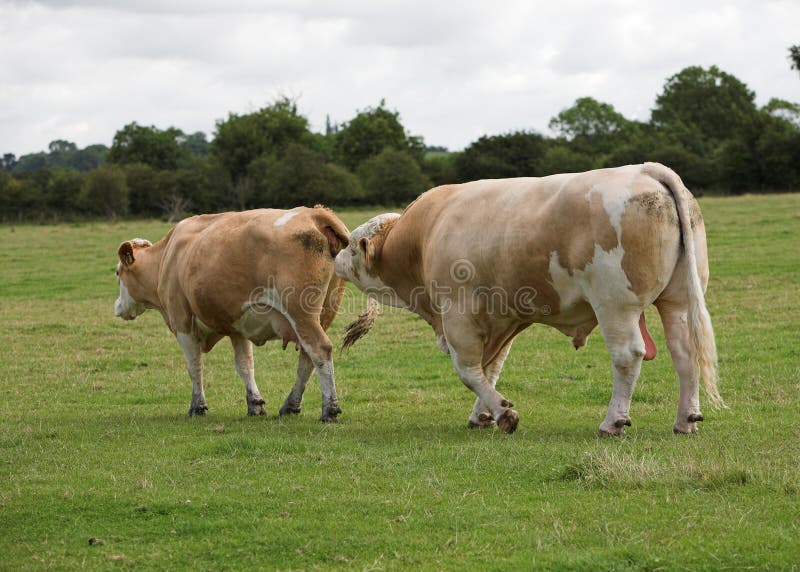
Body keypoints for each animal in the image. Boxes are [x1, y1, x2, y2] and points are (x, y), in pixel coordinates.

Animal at [114, 206, 350, 422]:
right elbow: (245, 365)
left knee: (319, 350)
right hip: (324, 314)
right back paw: (291, 405)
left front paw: (197, 406)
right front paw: (255, 404)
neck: (168, 256)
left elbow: (194, 365)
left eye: (117, 273)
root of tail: (314, 213)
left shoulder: (182, 321)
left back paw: (329, 409)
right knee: (307, 359)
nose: (117, 306)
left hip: (300, 313)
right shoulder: (237, 327)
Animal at [335, 163, 724, 435]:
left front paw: (504, 414)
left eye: (351, 245)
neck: (422, 238)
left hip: (616, 305)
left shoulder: (457, 315)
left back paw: (613, 422)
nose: (336, 257)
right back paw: (686, 419)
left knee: (627, 356)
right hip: (677, 300)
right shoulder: (501, 319)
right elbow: (490, 369)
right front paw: (484, 415)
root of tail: (646, 170)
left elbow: (468, 371)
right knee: (685, 352)